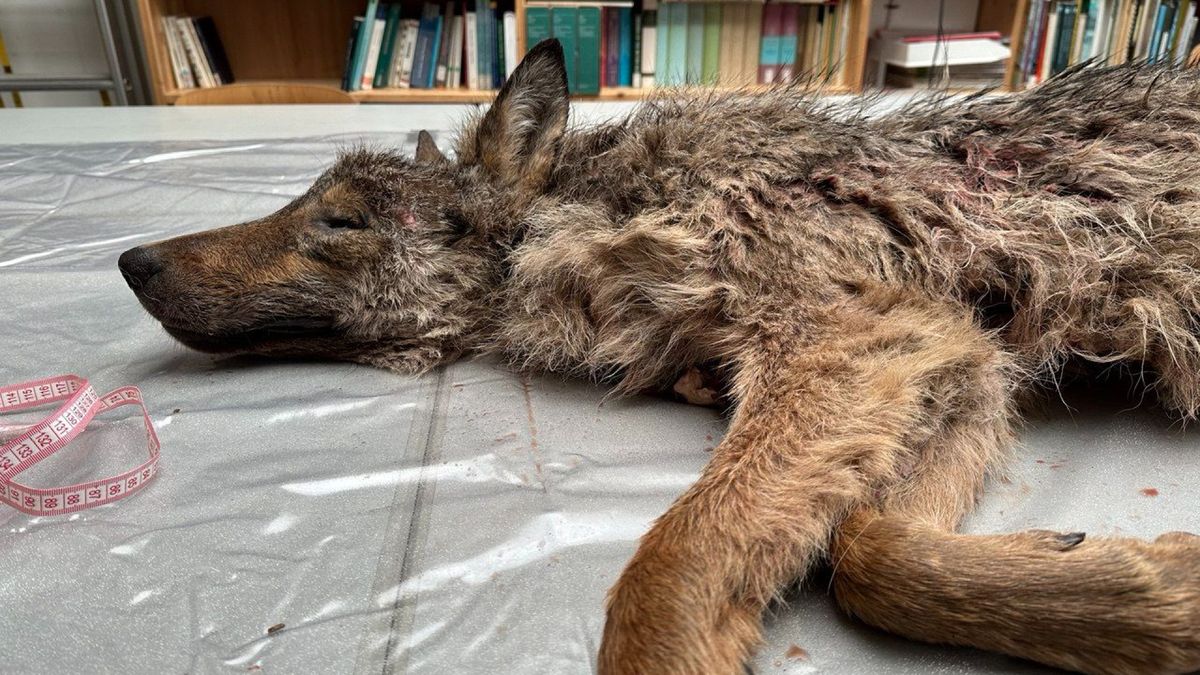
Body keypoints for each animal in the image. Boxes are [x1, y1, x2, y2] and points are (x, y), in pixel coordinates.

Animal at [118, 40, 1200, 674]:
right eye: (307, 203)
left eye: (339, 221)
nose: (129, 259)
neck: (583, 211)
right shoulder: (954, 353)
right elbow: (869, 548)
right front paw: (1149, 592)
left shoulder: (847, 338)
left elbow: (668, 579)